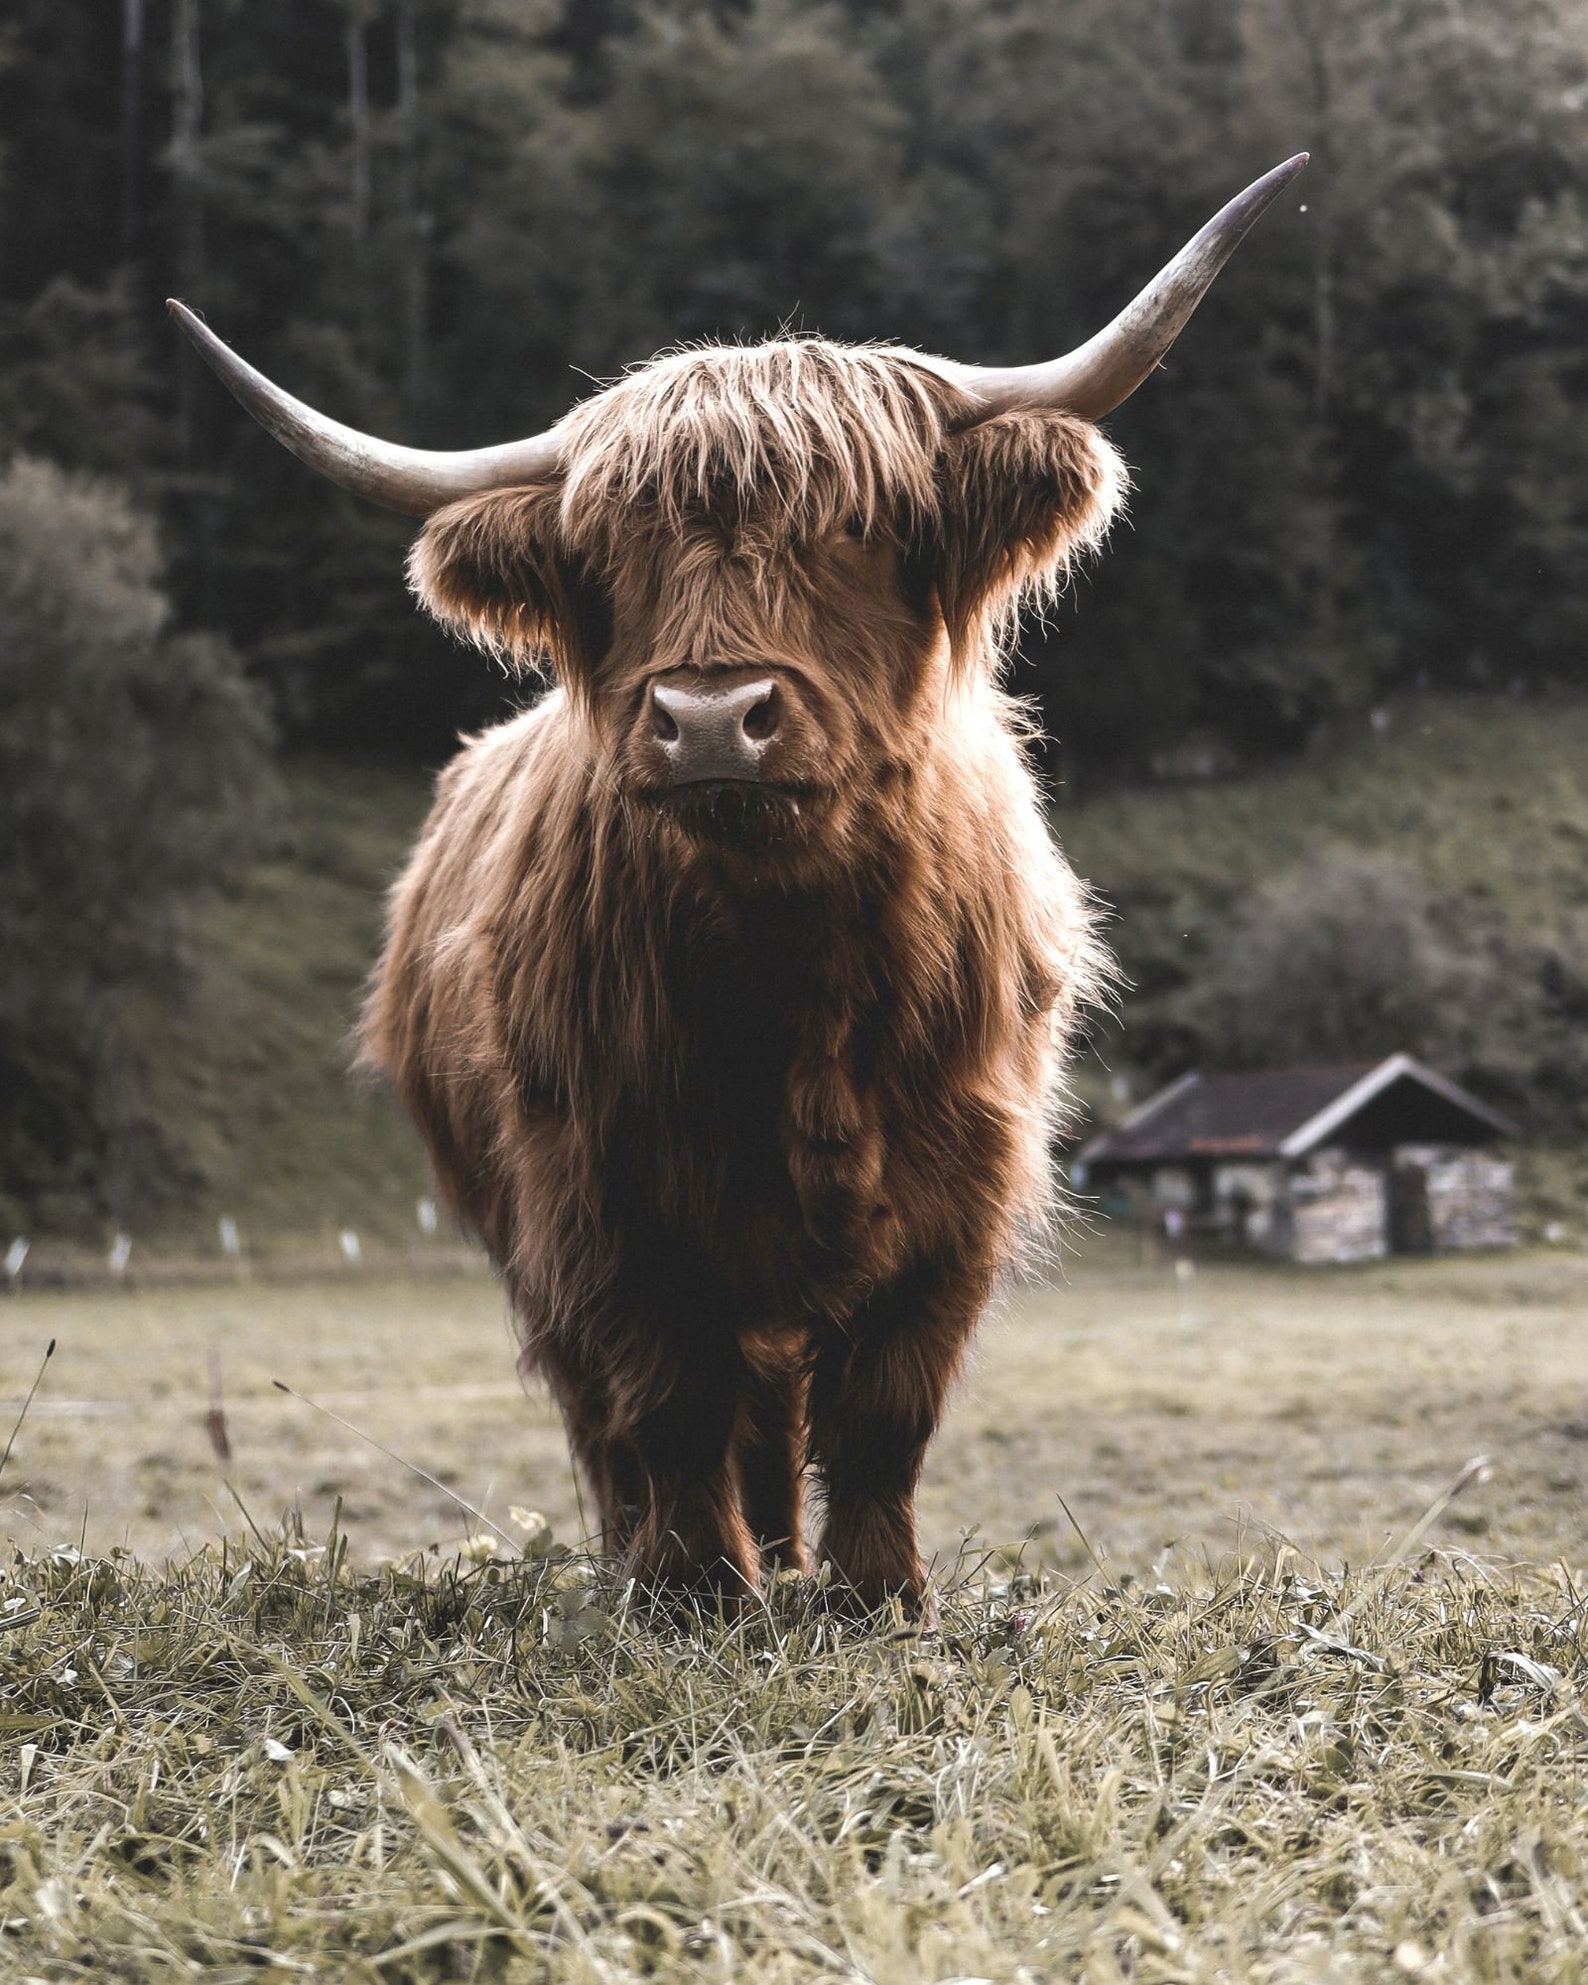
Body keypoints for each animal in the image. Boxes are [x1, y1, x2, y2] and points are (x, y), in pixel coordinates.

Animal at [173, 156, 1305, 1610]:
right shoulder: (602, 1195)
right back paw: (653, 1560)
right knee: (620, 1417)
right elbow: (666, 1399)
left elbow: (885, 1407)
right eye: (609, 559)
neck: (790, 961)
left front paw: (877, 1593)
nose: (711, 719)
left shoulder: (959, 1194)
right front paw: (696, 1589)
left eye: (858, 529)